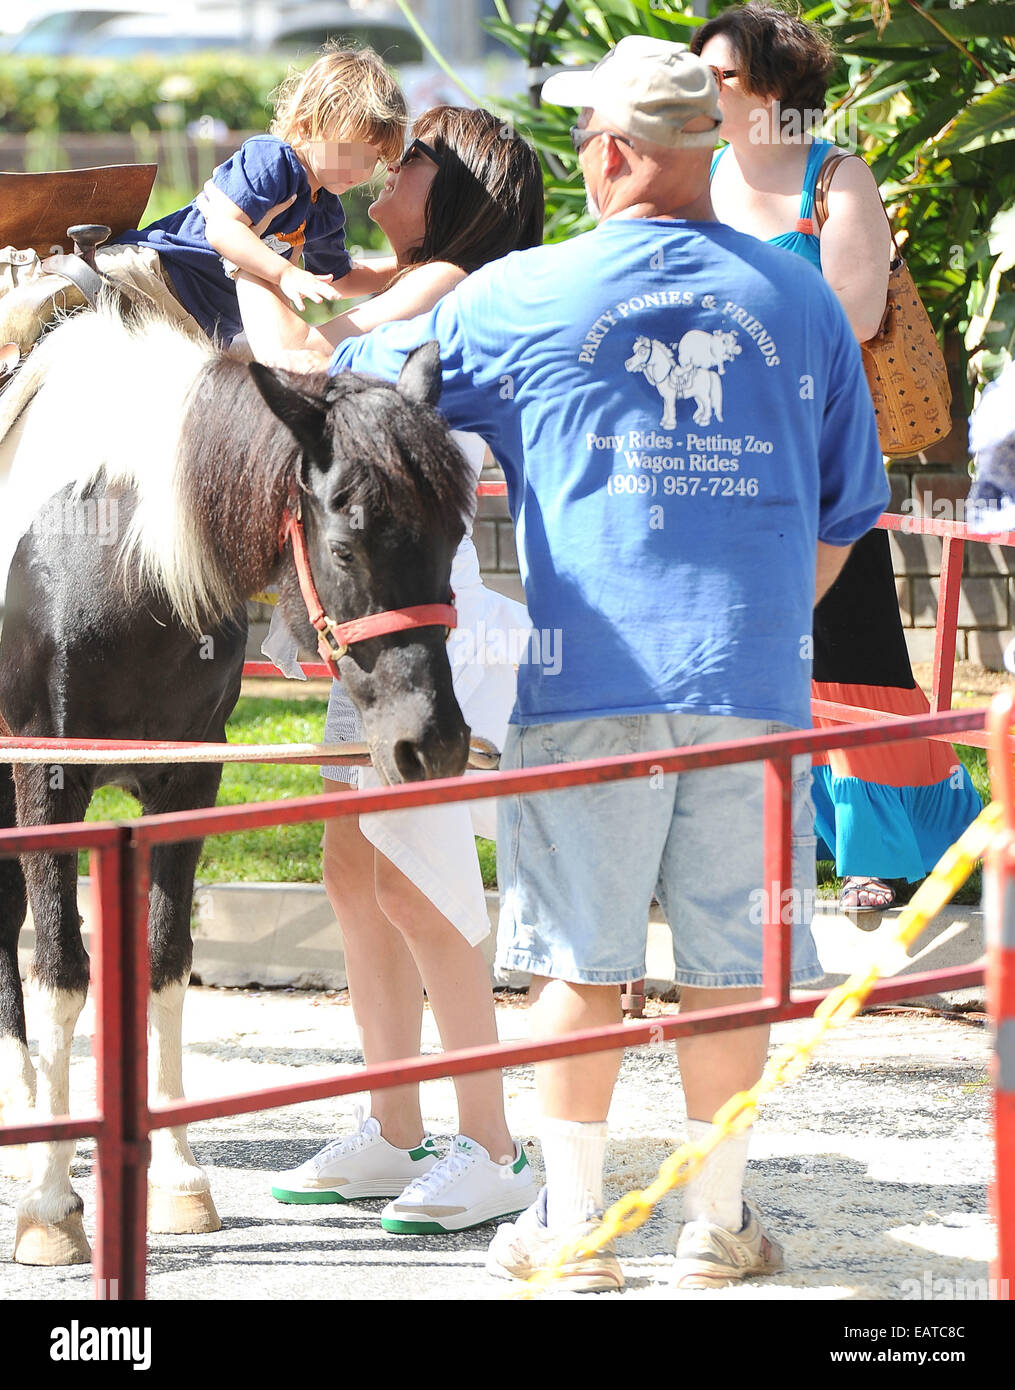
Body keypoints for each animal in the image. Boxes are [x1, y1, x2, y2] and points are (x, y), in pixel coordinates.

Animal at [0, 303, 473, 1266]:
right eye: (344, 545)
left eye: (455, 535)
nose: (432, 744)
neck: (116, 563)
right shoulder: (46, 778)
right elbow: (62, 969)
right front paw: (48, 1203)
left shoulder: (188, 782)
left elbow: (162, 964)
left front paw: (179, 1181)